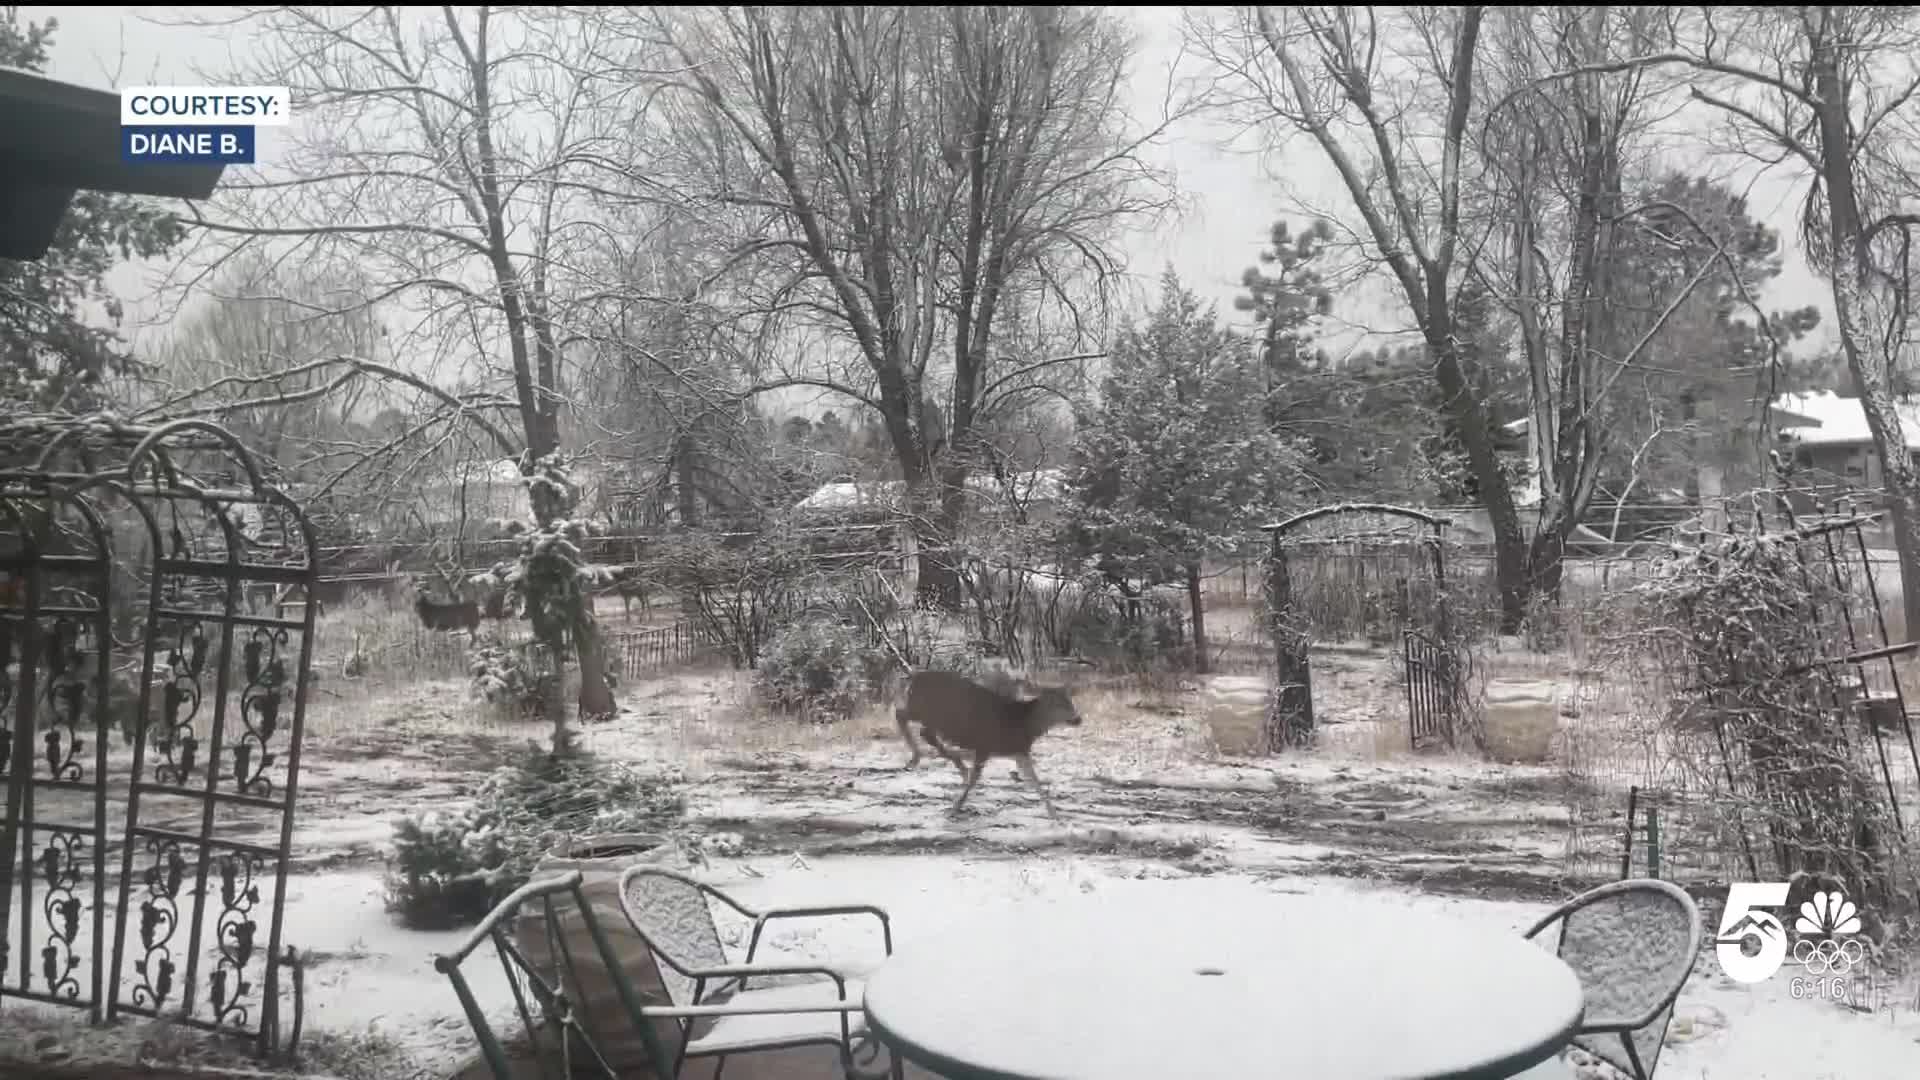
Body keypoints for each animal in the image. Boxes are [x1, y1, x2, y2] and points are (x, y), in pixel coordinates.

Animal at [894, 669, 1083, 820]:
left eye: (1070, 701)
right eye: (1057, 704)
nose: (1078, 719)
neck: (1023, 723)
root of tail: (913, 677)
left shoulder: (1019, 750)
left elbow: (1035, 780)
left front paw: (1055, 814)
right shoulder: (985, 745)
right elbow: (974, 779)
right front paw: (955, 807)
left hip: (930, 715)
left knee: (923, 731)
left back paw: (951, 763)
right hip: (925, 710)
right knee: (903, 717)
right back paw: (921, 758)